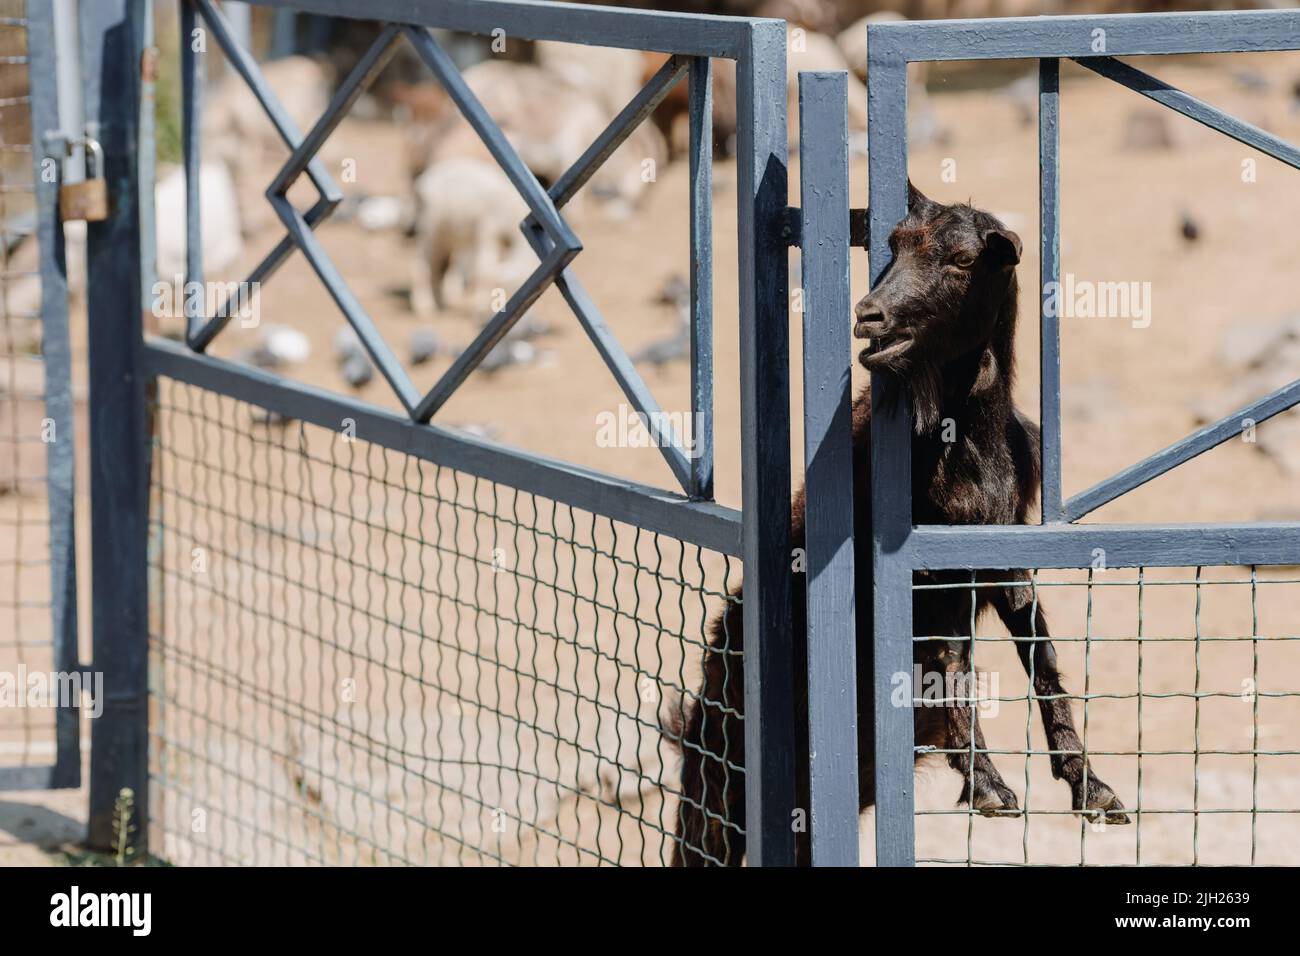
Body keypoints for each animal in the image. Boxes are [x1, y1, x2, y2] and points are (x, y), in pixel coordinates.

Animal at [671, 184, 1128, 866]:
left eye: (964, 260)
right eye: (891, 245)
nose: (869, 318)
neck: (966, 442)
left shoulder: (1004, 555)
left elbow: (1041, 657)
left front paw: (1092, 788)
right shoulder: (922, 568)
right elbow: (950, 661)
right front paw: (989, 786)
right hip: (720, 787)